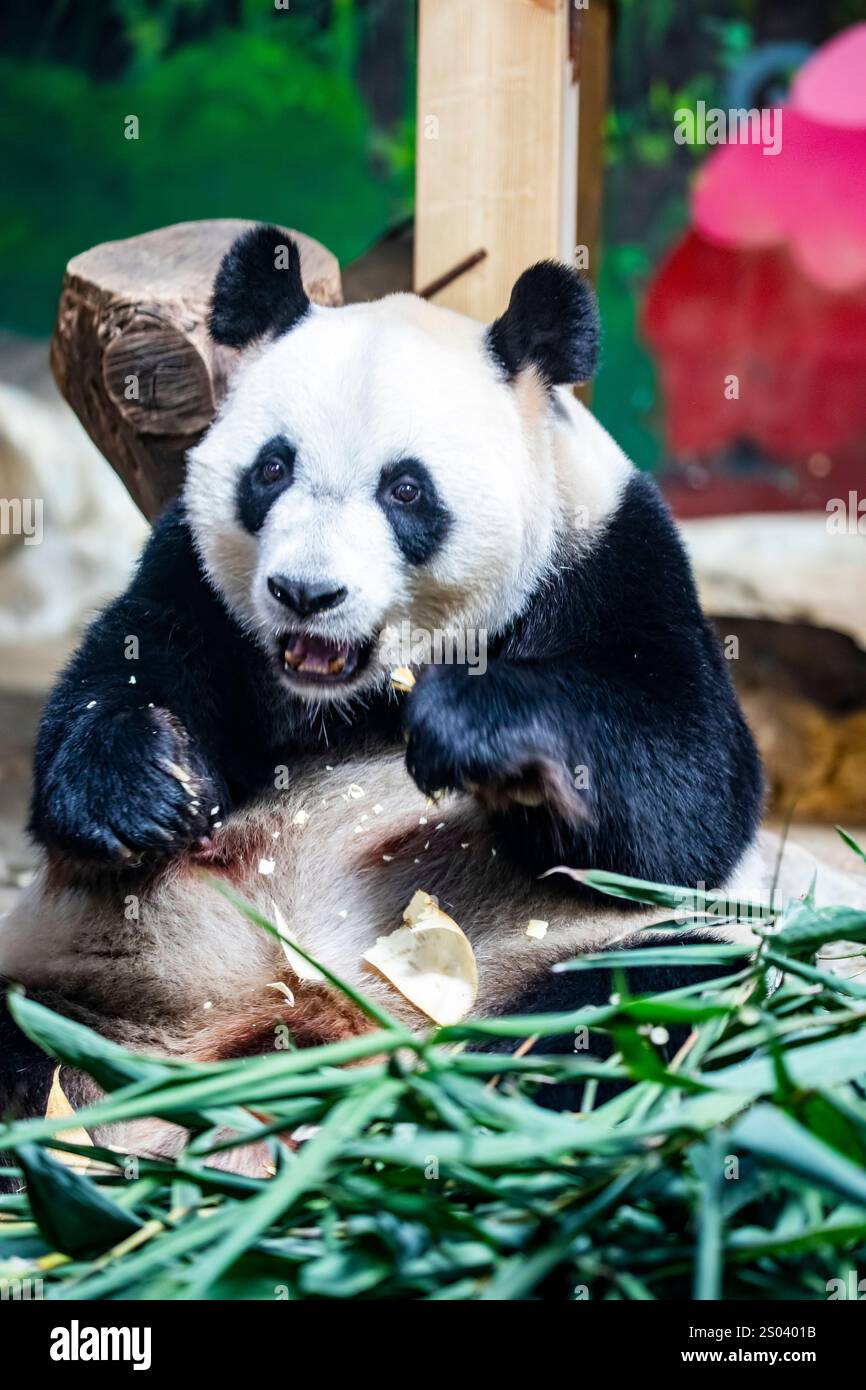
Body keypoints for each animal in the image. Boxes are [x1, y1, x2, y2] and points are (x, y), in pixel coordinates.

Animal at [0, 225, 789, 1173]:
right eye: (271, 469)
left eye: (405, 489)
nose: (305, 594)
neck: (358, 694)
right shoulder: (195, 573)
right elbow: (123, 673)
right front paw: (142, 787)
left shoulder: (611, 557)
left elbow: (686, 789)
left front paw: (472, 726)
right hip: (94, 970)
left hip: (524, 967)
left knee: (644, 1000)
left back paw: (428, 1123)